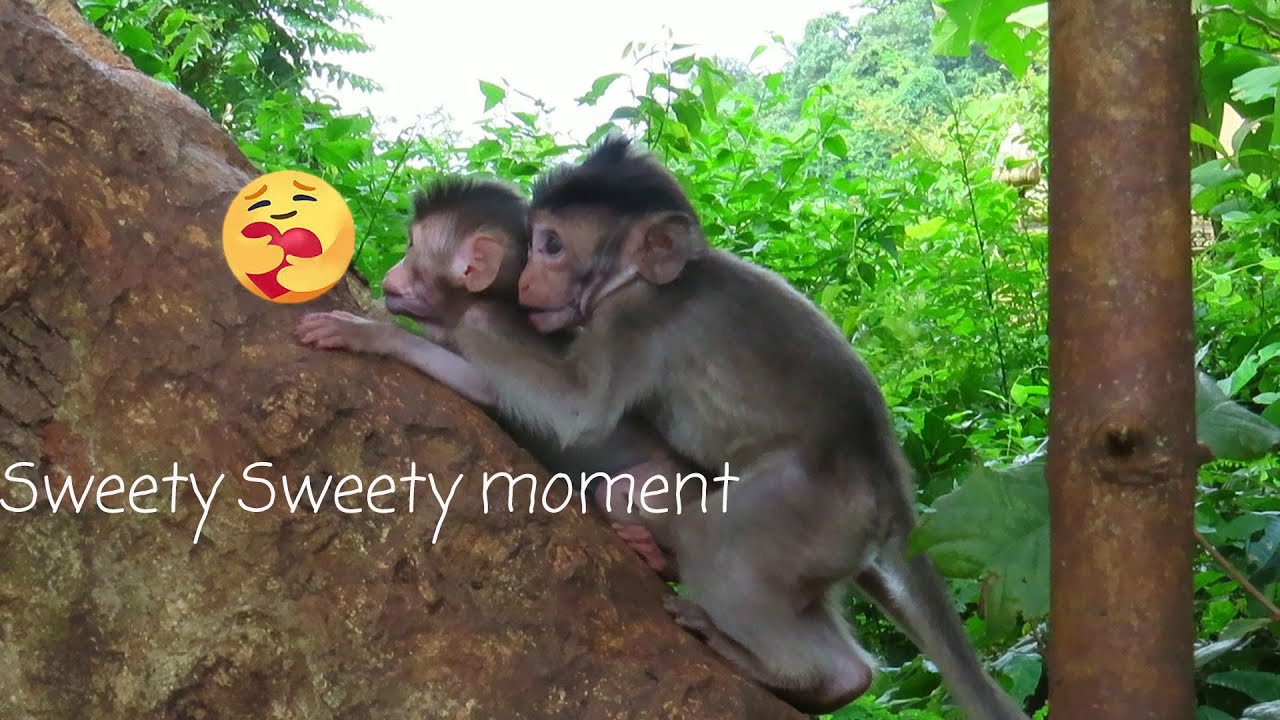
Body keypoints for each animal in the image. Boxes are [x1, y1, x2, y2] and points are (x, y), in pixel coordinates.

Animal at [294, 177, 693, 577]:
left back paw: (660, 556)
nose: (392, 270)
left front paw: (368, 334)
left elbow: (490, 389)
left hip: (671, 484)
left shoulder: (482, 323)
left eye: (411, 247)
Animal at [449, 137, 1031, 718]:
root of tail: (885, 477)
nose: (525, 279)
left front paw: (459, 316)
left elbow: (578, 410)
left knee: (712, 539)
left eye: (550, 245)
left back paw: (796, 671)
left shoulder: (631, 322)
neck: (648, 279)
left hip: (805, 510)